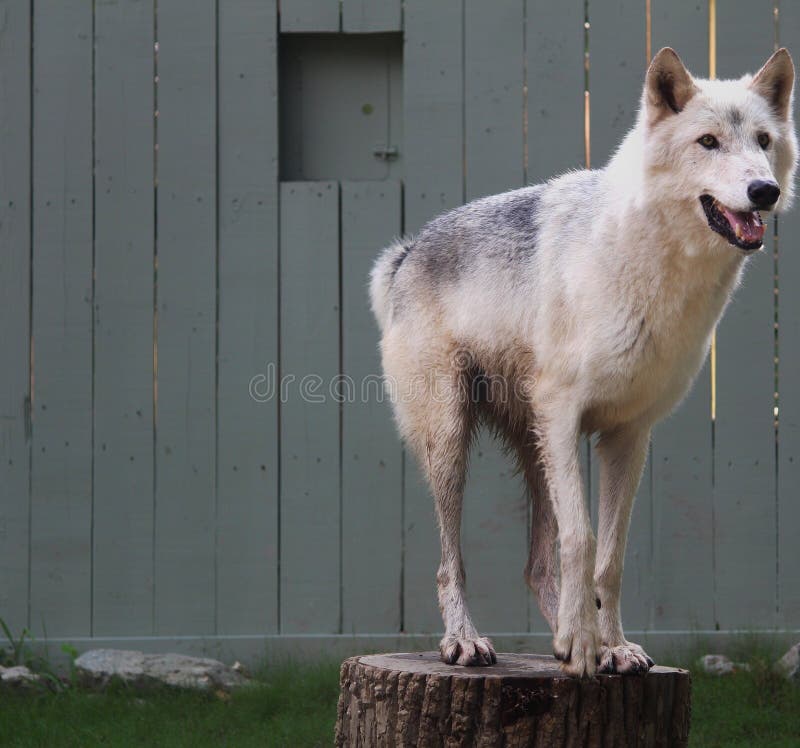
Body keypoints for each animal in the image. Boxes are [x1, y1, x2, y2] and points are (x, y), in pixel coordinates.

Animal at [370, 48, 797, 676]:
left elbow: (610, 556)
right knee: (453, 562)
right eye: (709, 142)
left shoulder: (628, 435)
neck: (652, 268)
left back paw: (567, 638)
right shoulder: (567, 416)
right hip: (455, 443)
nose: (763, 190)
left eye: (764, 141)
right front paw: (585, 643)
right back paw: (467, 640)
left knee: (536, 565)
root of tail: (406, 251)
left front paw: (609, 645)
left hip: (538, 448)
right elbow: (583, 539)